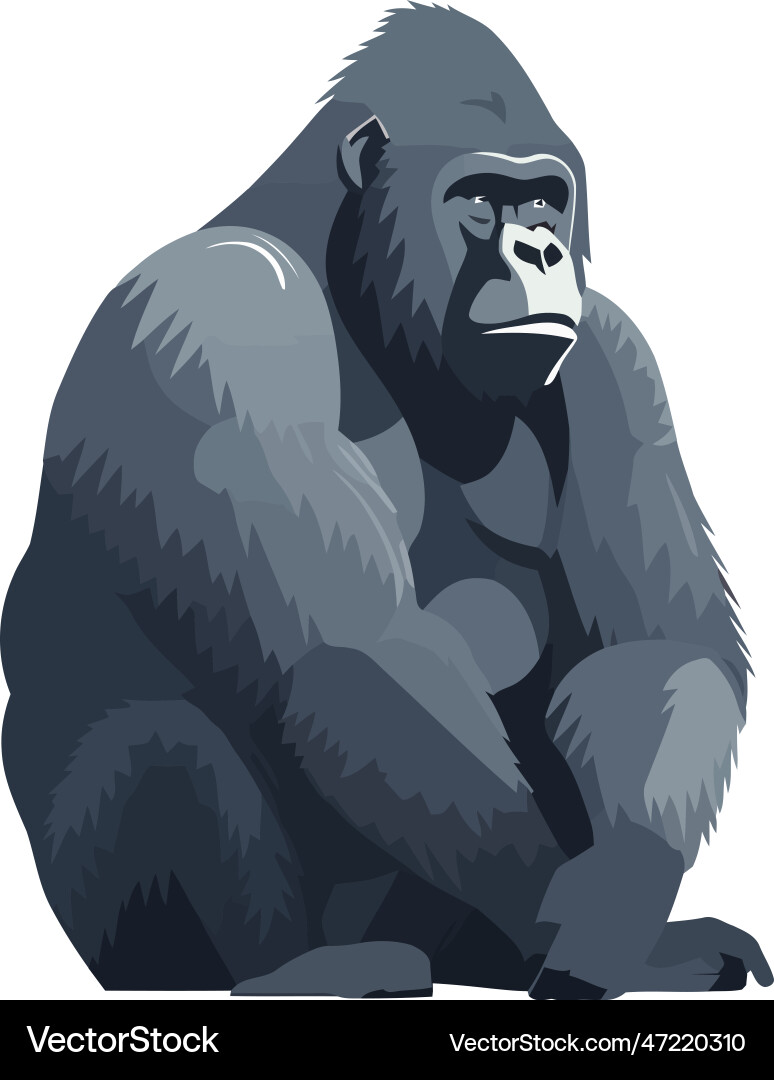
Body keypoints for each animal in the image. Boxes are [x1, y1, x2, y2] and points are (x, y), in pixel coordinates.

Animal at [1, 3, 771, 999]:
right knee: (163, 740)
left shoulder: (614, 354)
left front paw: (621, 903)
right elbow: (351, 658)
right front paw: (568, 914)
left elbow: (657, 648)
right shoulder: (218, 312)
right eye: (478, 198)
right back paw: (296, 970)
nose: (543, 250)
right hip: (110, 941)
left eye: (545, 200)